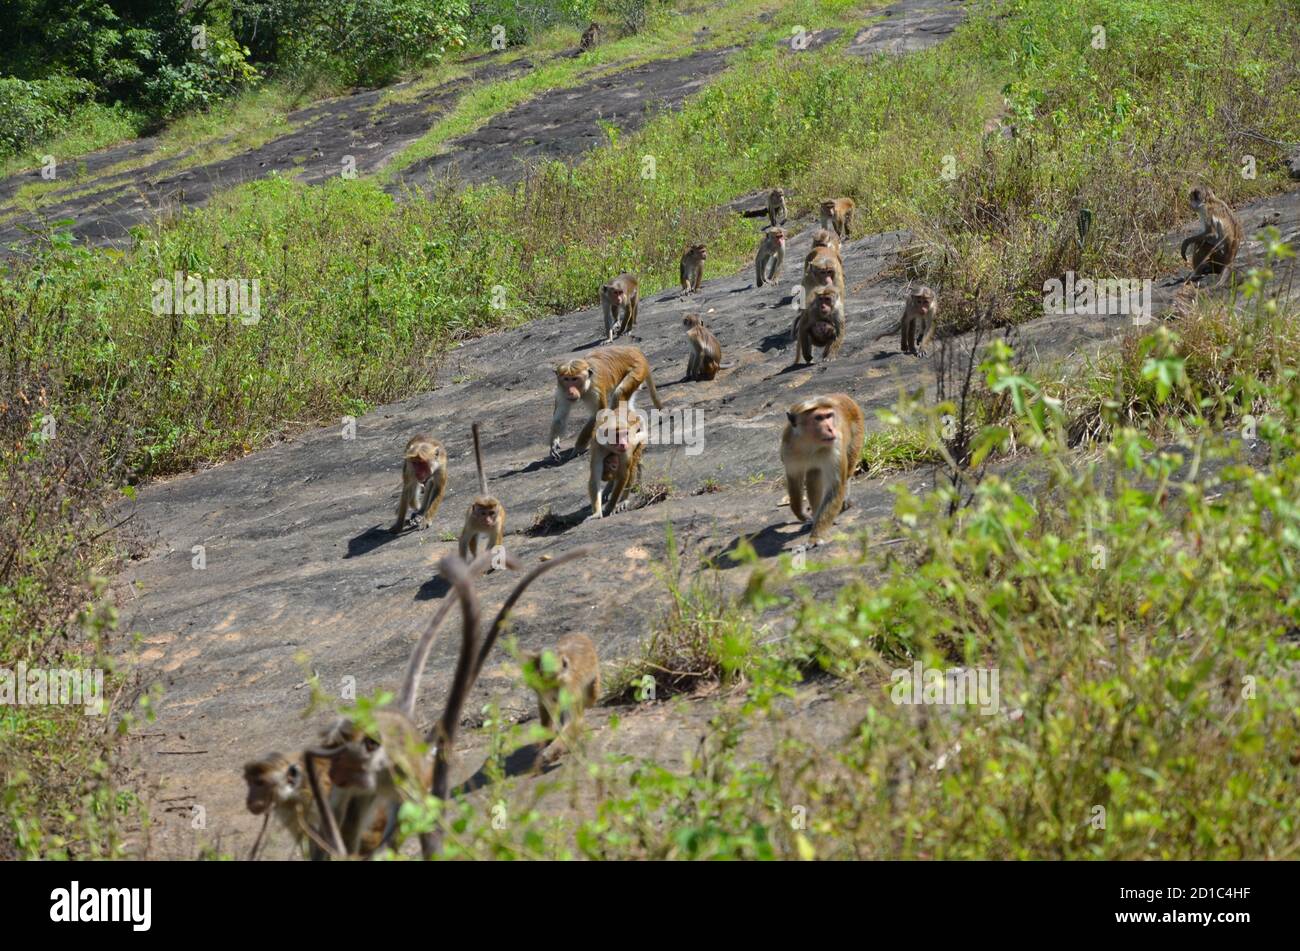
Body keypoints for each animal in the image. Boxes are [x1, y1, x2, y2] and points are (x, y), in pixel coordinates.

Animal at [460, 422, 505, 564]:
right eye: (483, 513)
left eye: (491, 513)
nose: (488, 520)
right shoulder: (471, 520)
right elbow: (464, 540)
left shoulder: (497, 523)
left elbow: (493, 543)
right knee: (473, 538)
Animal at [521, 633, 601, 767]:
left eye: (558, 664)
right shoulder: (540, 685)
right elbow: (546, 707)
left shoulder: (569, 687)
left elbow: (575, 720)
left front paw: (552, 751)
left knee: (590, 697)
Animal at [780, 394, 866, 544]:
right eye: (819, 418)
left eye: (829, 416)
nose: (831, 429)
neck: (810, 442)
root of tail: (842, 395)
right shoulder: (788, 446)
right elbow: (794, 479)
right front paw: (801, 514)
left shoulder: (835, 447)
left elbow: (836, 487)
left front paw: (816, 537)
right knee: (814, 475)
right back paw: (815, 516)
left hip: (857, 429)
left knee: (847, 470)